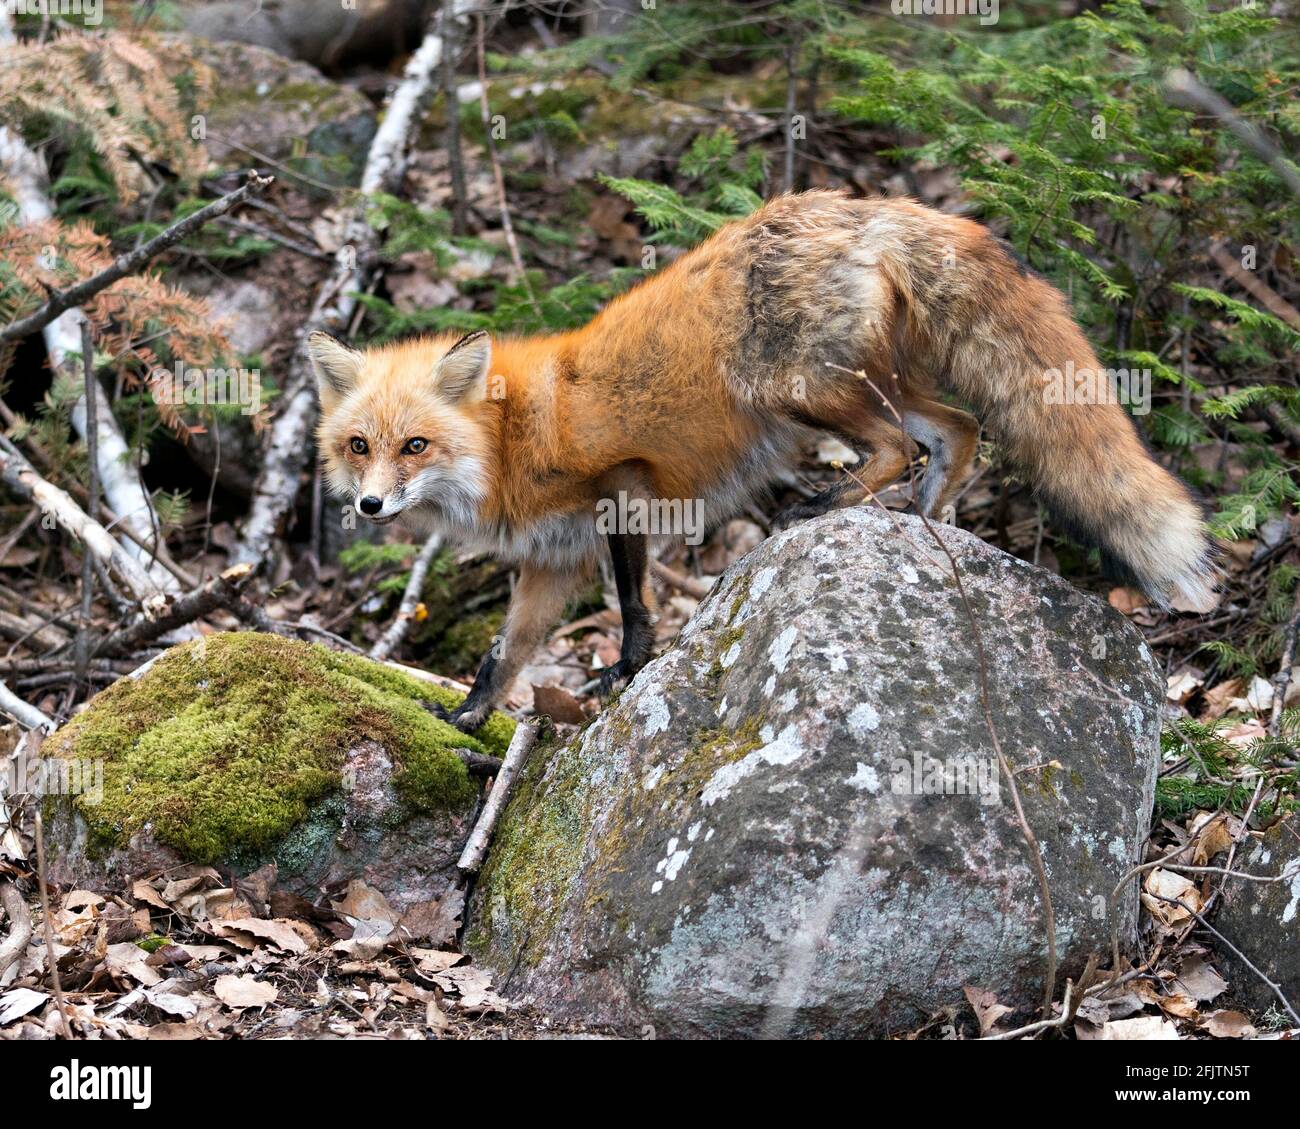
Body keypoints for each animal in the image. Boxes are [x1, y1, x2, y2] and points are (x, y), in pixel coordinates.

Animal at [310, 189, 1218, 733]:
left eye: (415, 445)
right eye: (359, 446)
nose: (369, 507)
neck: (509, 439)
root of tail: (854, 205)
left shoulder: (623, 490)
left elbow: (634, 608)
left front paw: (624, 673)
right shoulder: (552, 560)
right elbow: (505, 653)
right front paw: (465, 717)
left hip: (789, 388)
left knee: (899, 444)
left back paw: (826, 506)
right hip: (876, 384)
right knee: (958, 431)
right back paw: (926, 523)